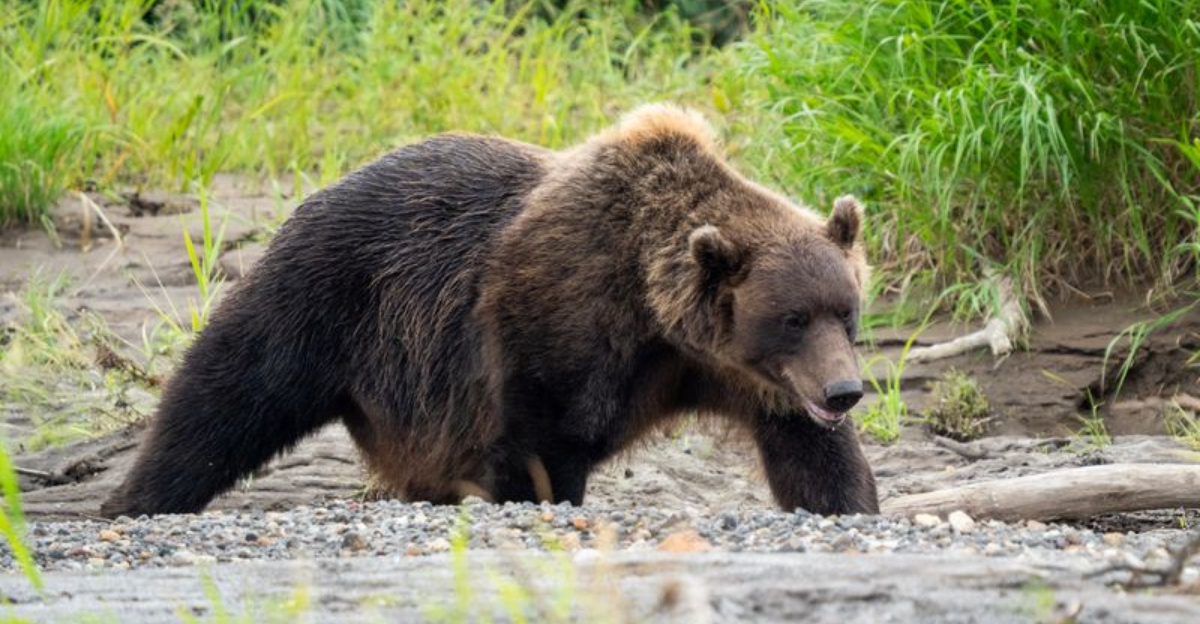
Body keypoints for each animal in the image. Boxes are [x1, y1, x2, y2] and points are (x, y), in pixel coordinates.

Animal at [100, 104, 878, 518]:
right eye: (792, 318)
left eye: (846, 312)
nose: (845, 389)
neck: (656, 319)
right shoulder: (557, 322)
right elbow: (540, 442)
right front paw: (545, 498)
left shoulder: (744, 377)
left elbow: (813, 453)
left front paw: (847, 500)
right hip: (325, 293)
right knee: (228, 391)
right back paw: (136, 497)